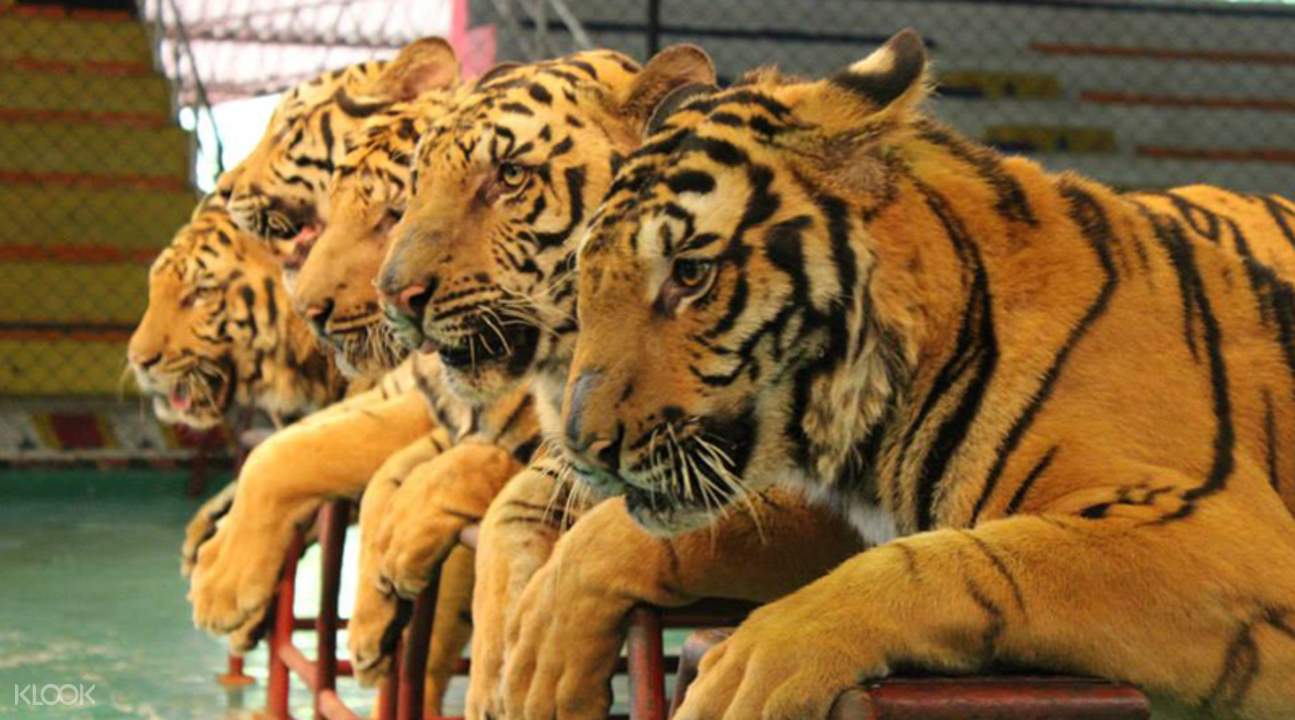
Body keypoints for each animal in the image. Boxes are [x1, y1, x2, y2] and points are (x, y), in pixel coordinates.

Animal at [375, 48, 862, 719]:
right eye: (419, 181)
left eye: (509, 176)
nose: (393, 295)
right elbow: (510, 508)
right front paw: (493, 679)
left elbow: (625, 535)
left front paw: (543, 664)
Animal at [559, 29, 1295, 719]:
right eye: (584, 277)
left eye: (690, 273)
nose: (580, 448)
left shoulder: (1224, 538)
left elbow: (961, 560)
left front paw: (748, 669)